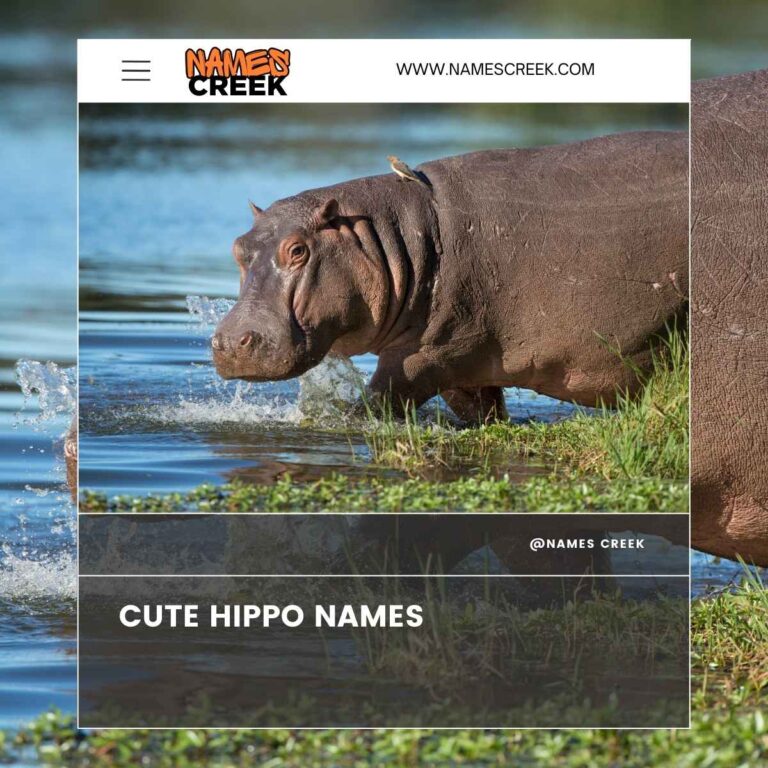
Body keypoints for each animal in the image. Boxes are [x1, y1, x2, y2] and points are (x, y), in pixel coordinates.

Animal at [213, 134, 688, 423]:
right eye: (237, 247)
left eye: (297, 250)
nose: (232, 341)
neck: (391, 235)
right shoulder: (468, 365)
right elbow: (483, 411)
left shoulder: (428, 354)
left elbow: (374, 403)